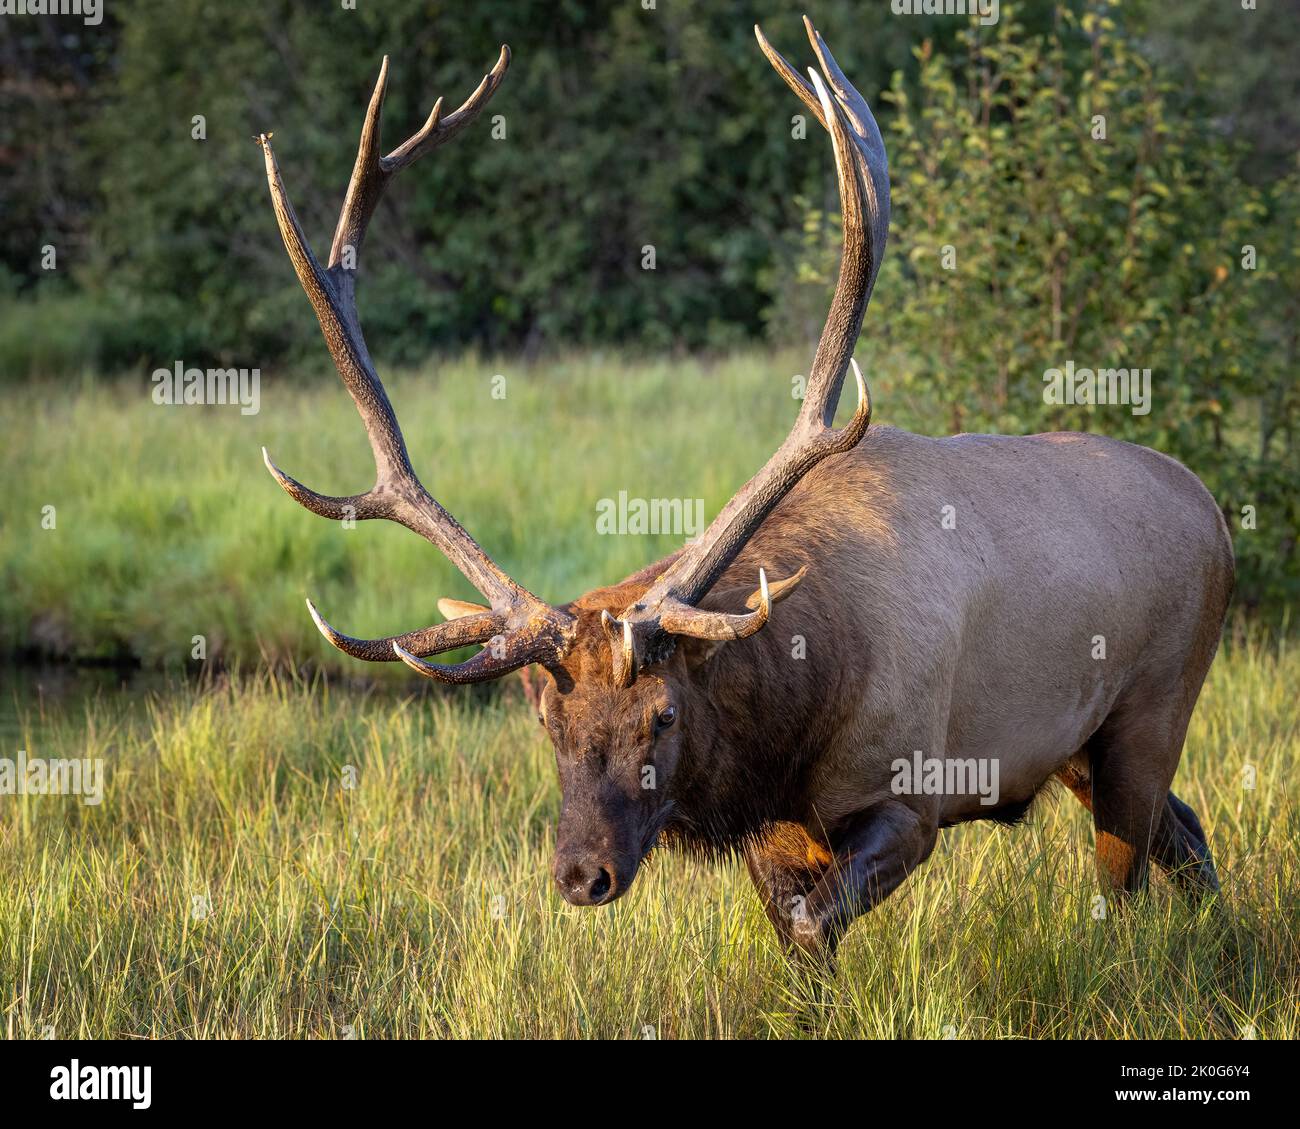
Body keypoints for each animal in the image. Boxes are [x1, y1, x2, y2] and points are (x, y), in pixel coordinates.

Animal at [256, 16, 1232, 959]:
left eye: (661, 717)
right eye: (547, 723)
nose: (581, 874)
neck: (791, 729)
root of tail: (1215, 512)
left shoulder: (913, 795)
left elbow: (815, 925)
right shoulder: (775, 832)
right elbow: (797, 938)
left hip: (1154, 704)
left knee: (1129, 873)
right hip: (1075, 746)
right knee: (1188, 836)